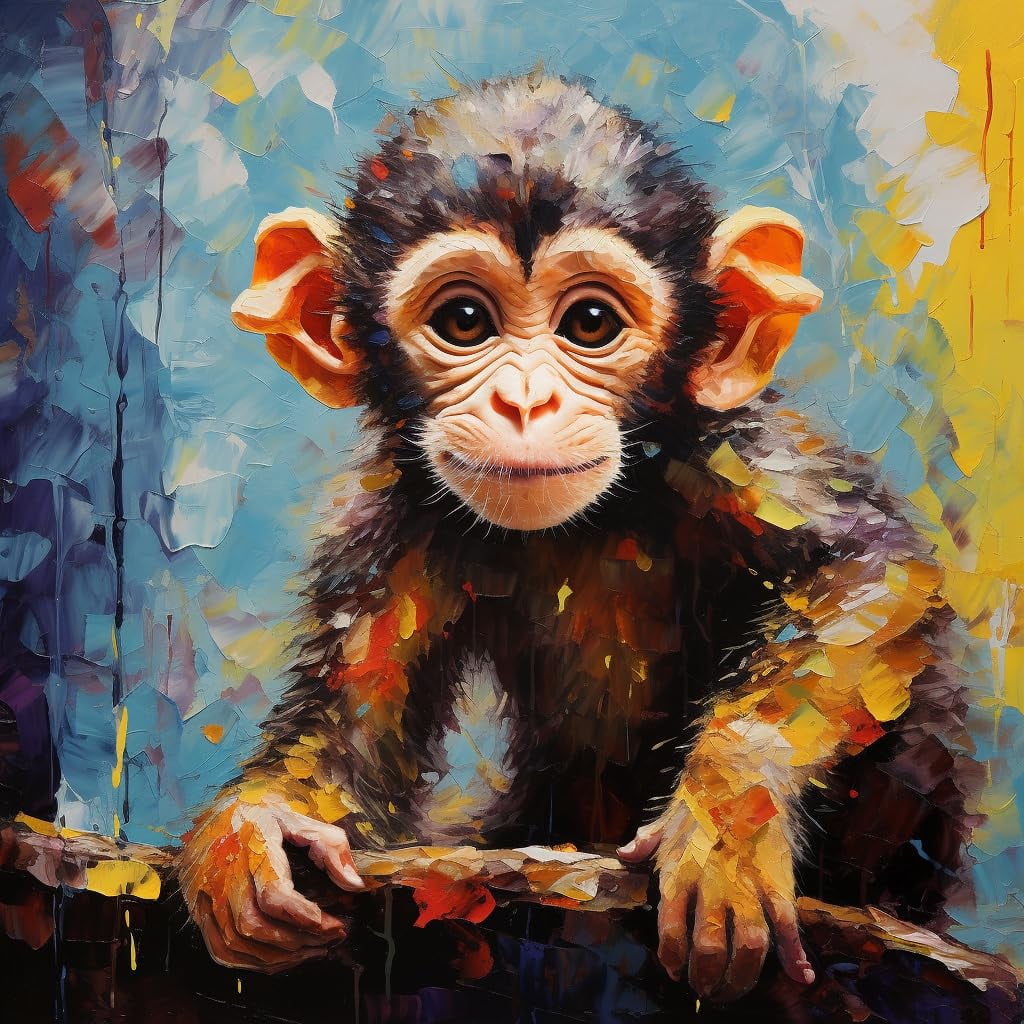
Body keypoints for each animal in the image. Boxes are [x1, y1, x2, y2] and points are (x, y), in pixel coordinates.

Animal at [176, 74, 976, 1002]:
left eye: (590, 323)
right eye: (464, 320)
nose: (526, 401)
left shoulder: (729, 450)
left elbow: (862, 570)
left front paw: (726, 818)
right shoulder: (388, 528)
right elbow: (361, 730)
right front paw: (258, 823)